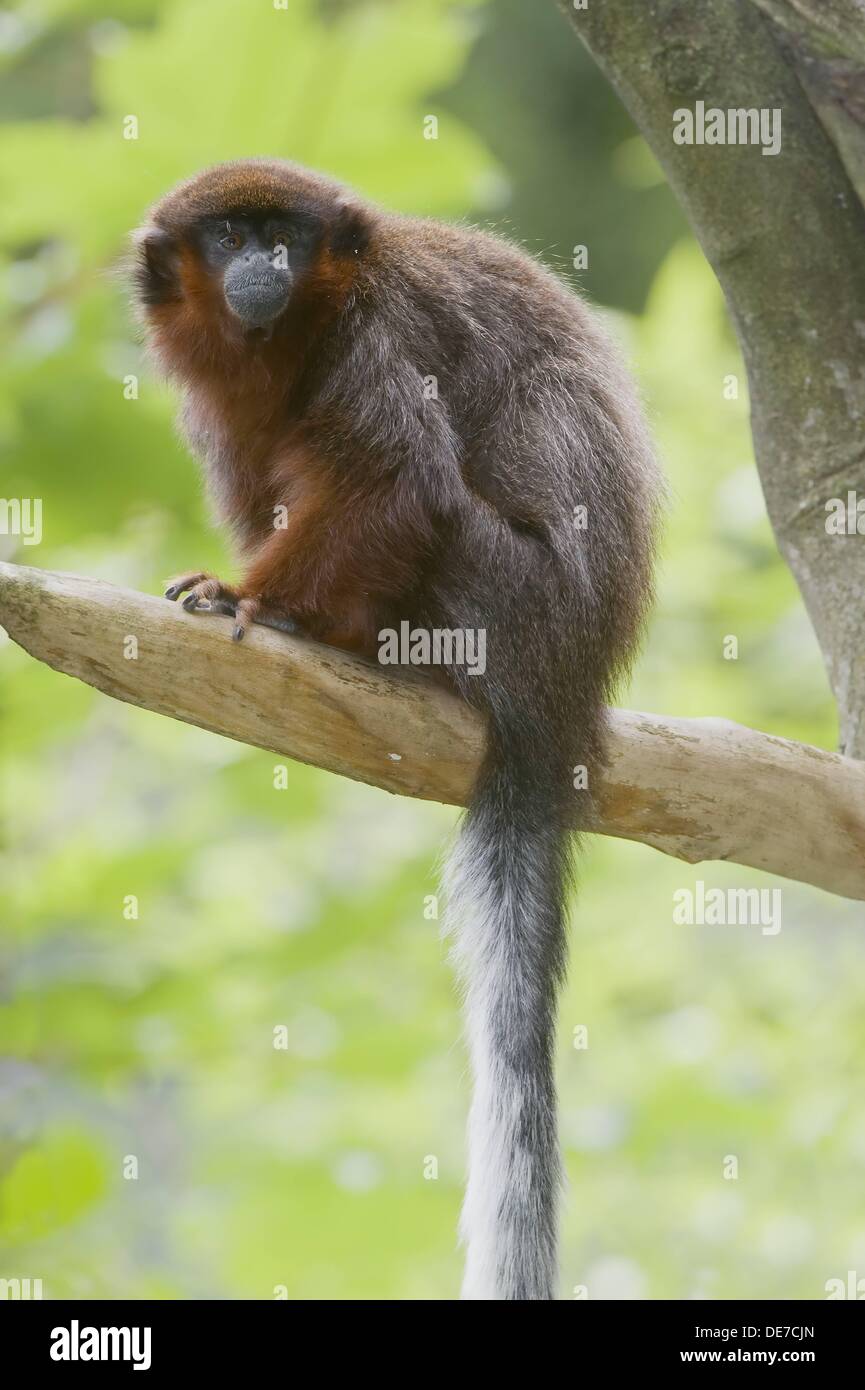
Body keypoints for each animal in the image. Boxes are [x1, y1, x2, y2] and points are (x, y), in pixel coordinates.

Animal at [131, 158, 662, 1301]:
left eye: (283, 235)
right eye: (230, 236)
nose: (263, 261)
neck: (303, 325)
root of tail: (568, 692)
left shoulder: (378, 331)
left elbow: (396, 482)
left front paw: (257, 603)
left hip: (501, 607)